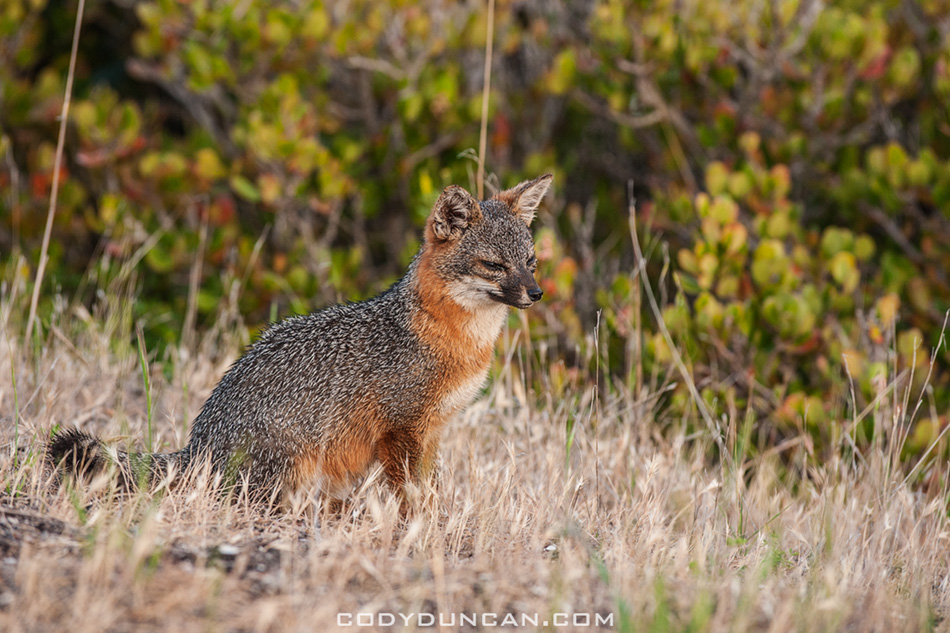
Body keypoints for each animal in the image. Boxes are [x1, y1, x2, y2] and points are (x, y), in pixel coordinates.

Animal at [48, 174, 553, 506]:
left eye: (530, 262)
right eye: (494, 266)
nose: (536, 294)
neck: (453, 340)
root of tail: (199, 445)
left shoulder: (431, 430)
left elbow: (424, 490)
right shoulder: (402, 430)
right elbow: (411, 498)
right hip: (295, 465)